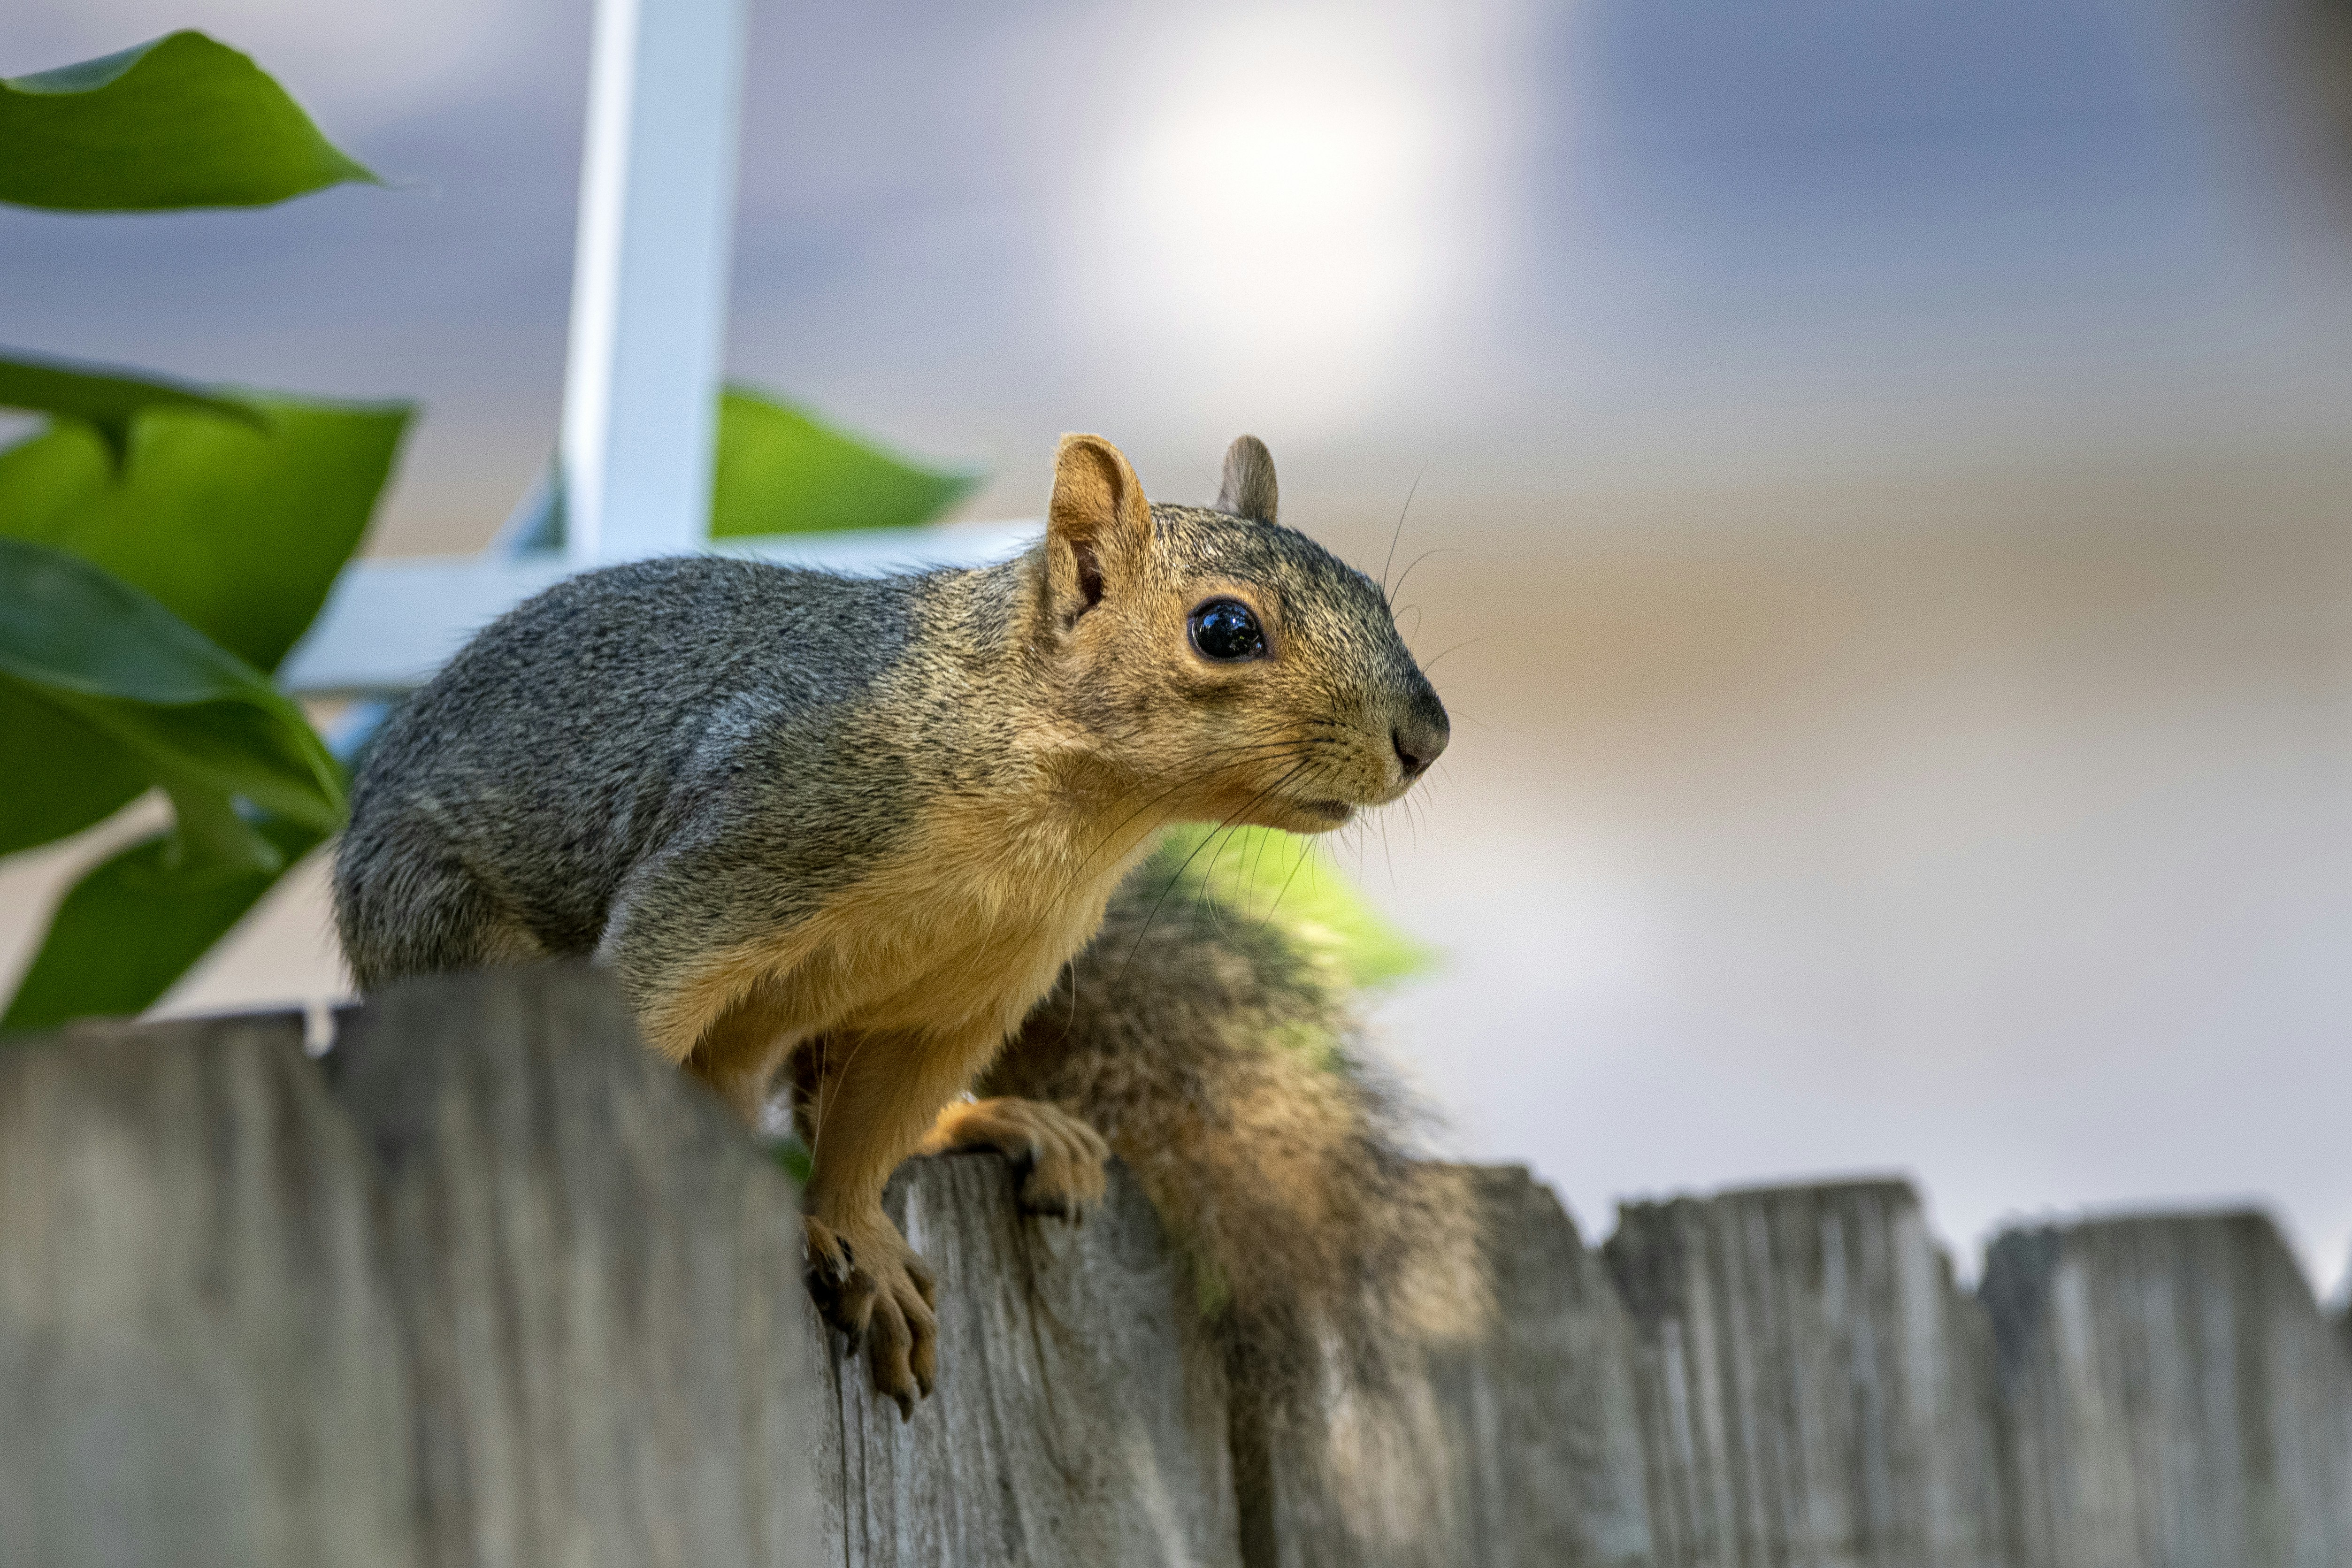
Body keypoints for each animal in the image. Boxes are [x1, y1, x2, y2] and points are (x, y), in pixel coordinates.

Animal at [335, 432, 1452, 1417]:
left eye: (1374, 594)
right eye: (1224, 631)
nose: (1427, 738)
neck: (1057, 817)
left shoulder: (966, 996)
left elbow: (871, 1133)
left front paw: (854, 1234)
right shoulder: (744, 852)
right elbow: (649, 991)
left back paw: (988, 1120)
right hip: (445, 923)